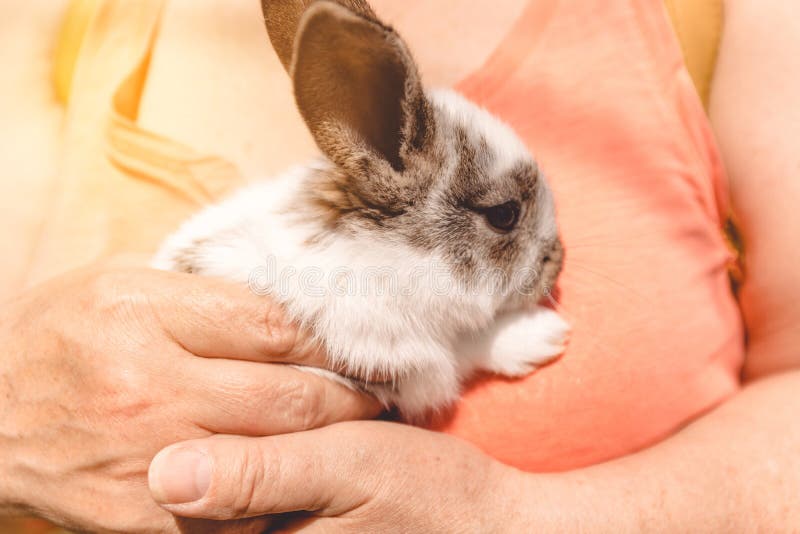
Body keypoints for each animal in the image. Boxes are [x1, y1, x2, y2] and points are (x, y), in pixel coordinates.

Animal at [153, 0, 569, 420]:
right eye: (504, 214)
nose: (558, 260)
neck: (383, 252)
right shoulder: (402, 363)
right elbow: (465, 349)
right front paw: (543, 334)